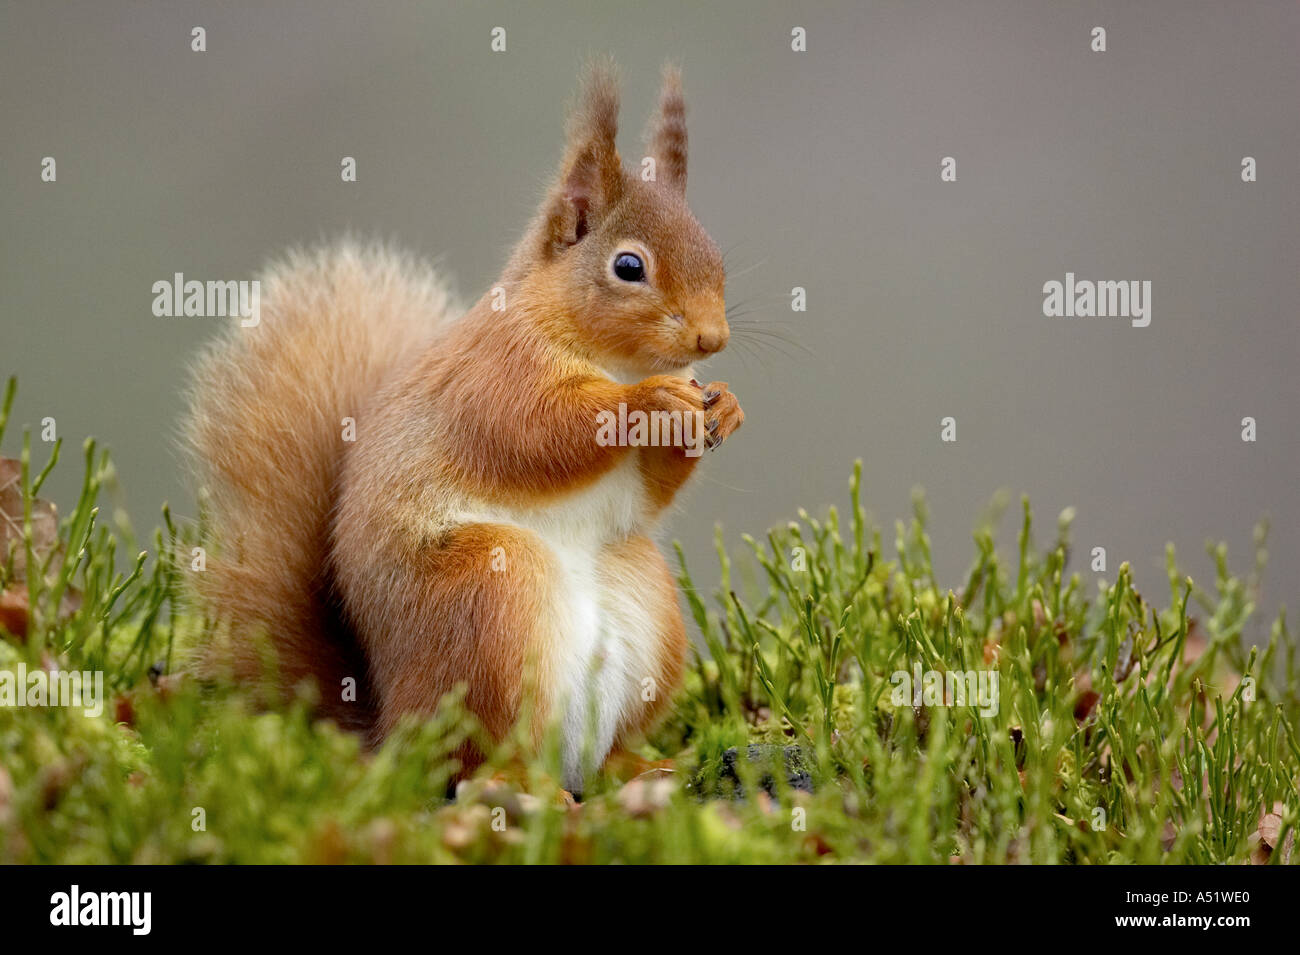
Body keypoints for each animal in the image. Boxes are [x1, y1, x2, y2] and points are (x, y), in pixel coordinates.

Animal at [184, 60, 742, 790]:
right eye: (629, 267)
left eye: (718, 256)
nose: (713, 338)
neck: (611, 359)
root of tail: (392, 729)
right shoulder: (493, 379)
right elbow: (540, 434)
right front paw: (650, 403)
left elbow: (649, 489)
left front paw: (724, 406)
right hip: (490, 596)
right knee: (478, 759)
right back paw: (523, 783)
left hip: (643, 601)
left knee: (598, 746)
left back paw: (638, 765)